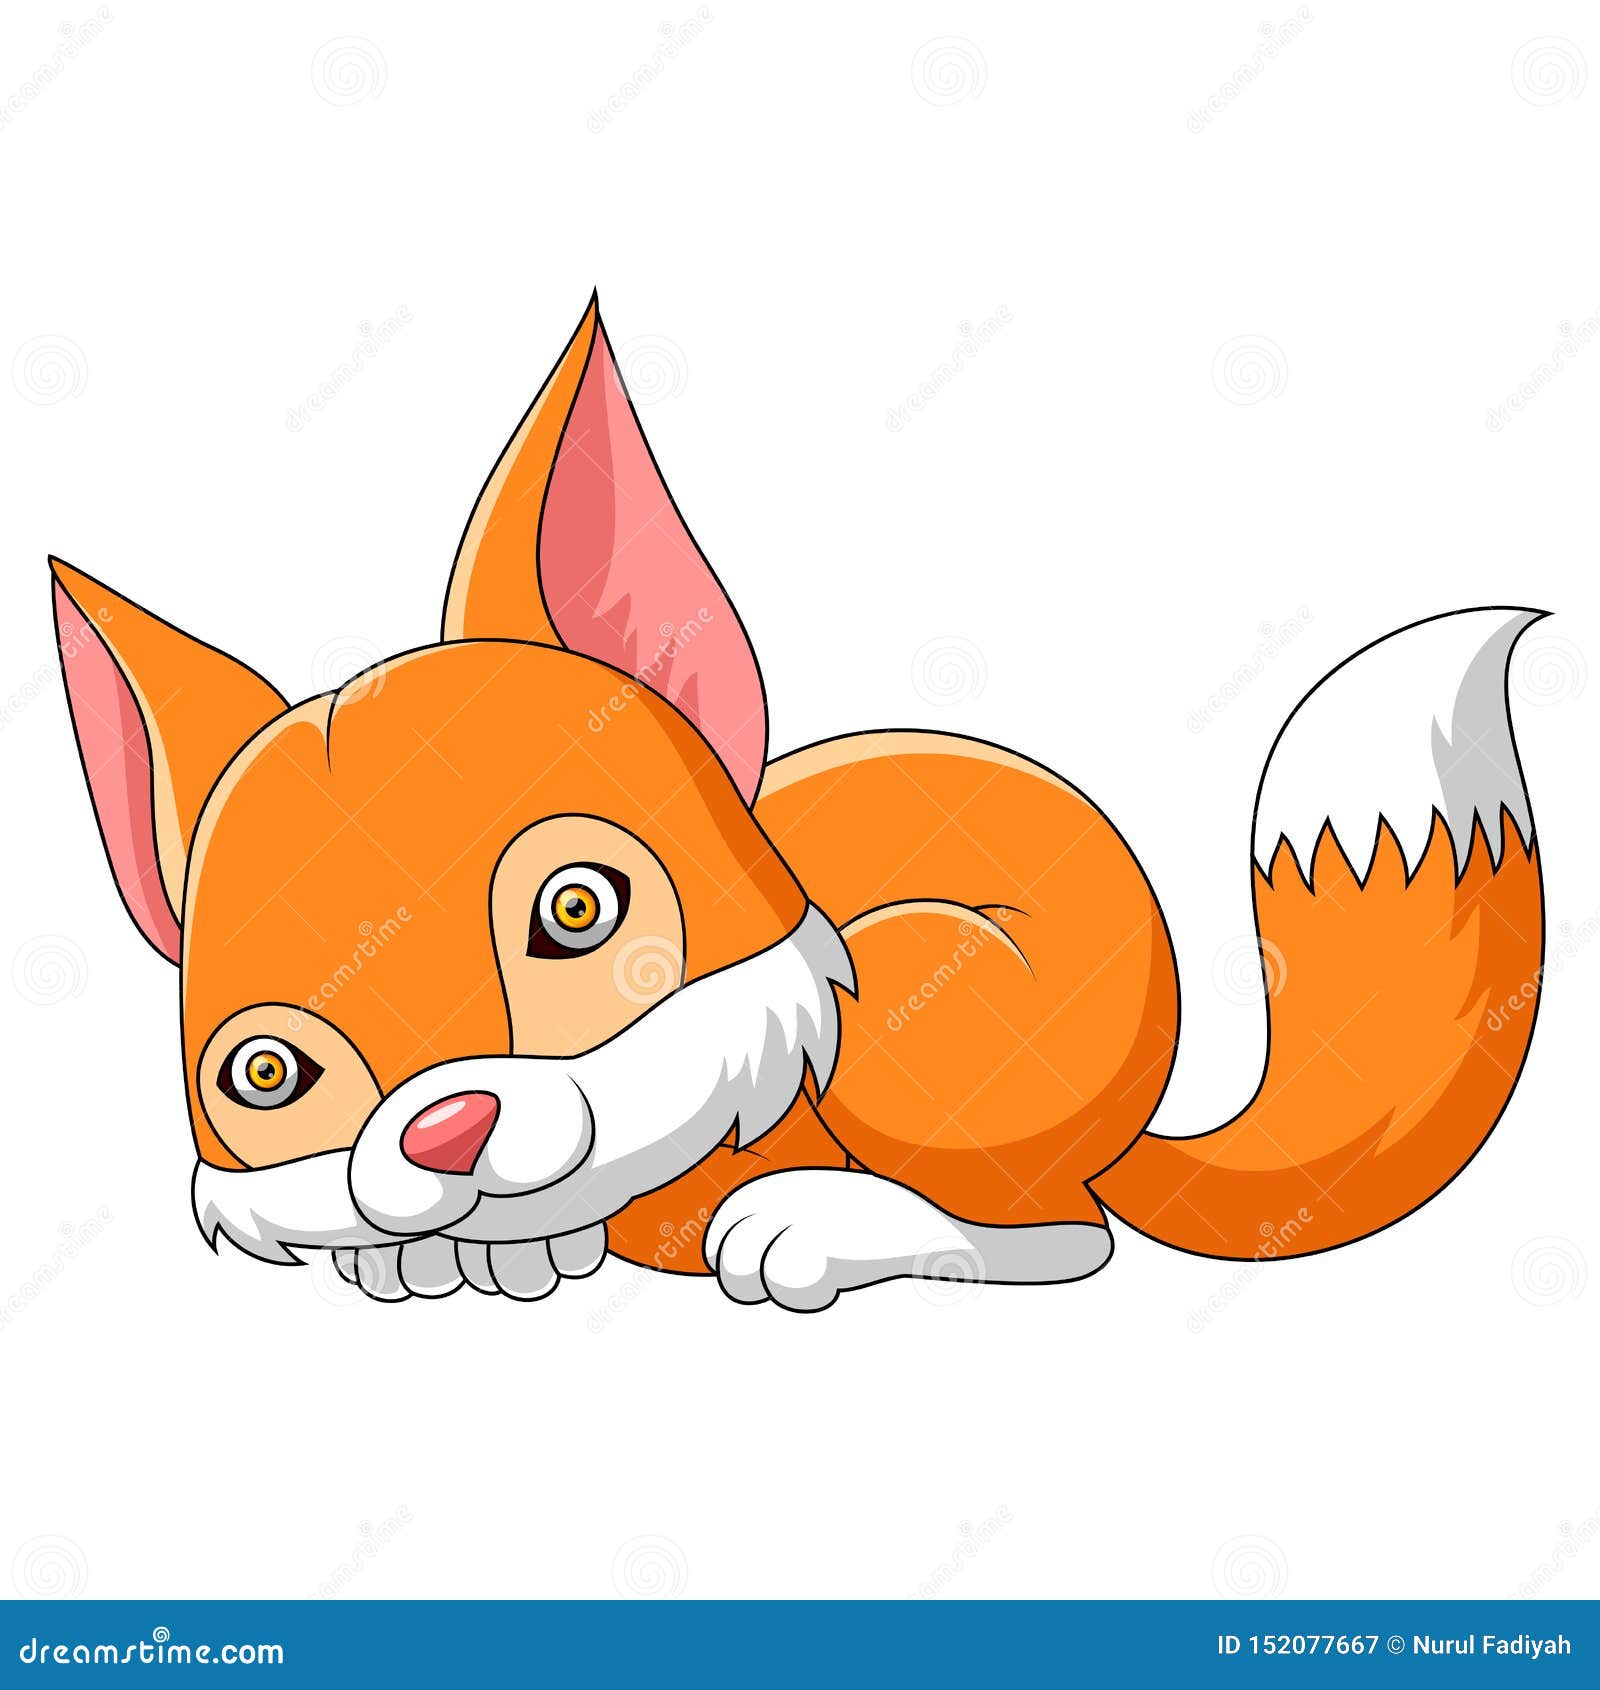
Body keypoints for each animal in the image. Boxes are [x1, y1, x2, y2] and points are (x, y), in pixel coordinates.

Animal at [52, 297, 1546, 1309]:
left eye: (579, 912)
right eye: (265, 1075)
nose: (445, 1129)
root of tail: (1137, 1119)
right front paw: (460, 1256)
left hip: (936, 1001)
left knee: (1063, 1236)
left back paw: (827, 1225)